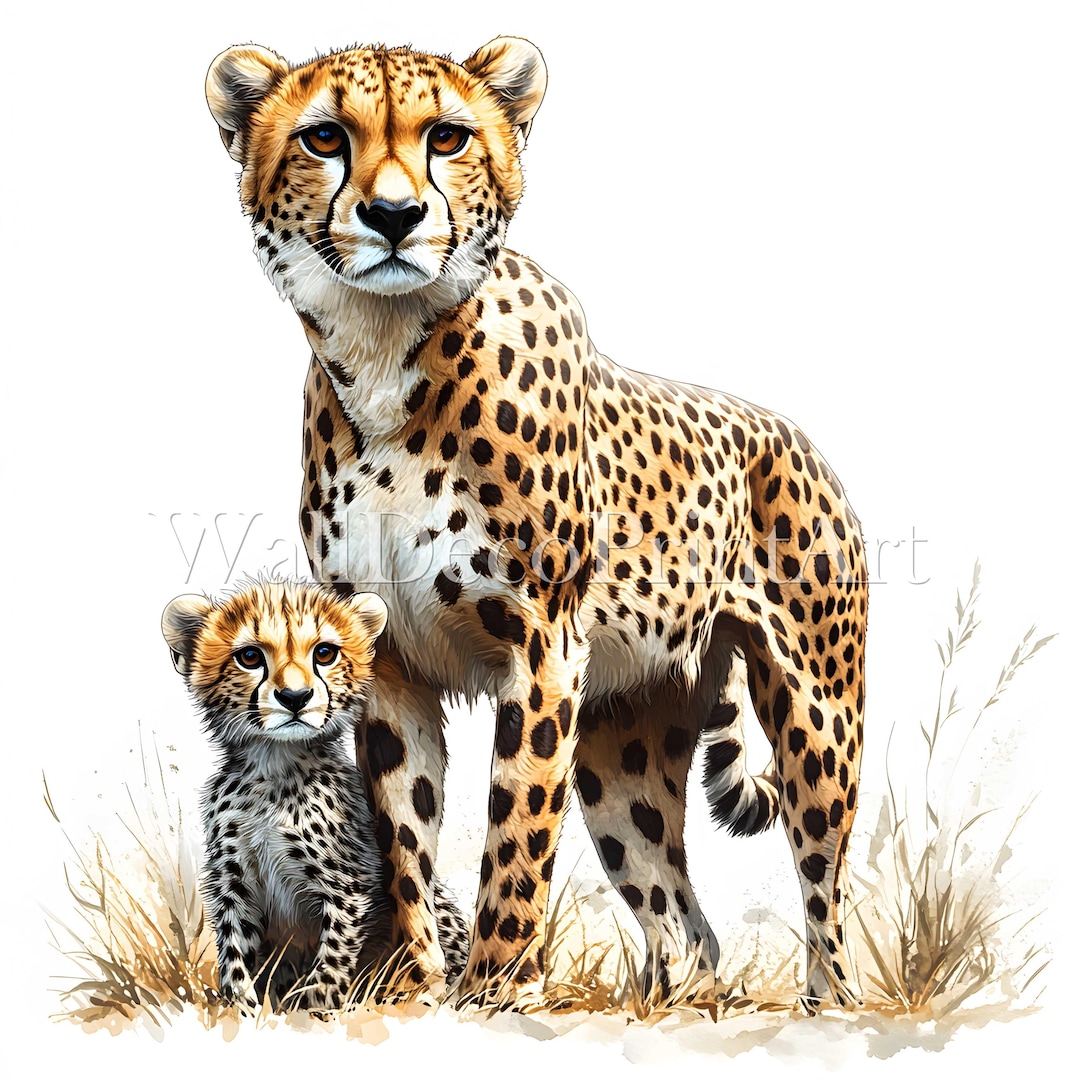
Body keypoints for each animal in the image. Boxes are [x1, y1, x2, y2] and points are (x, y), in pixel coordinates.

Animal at [162, 579, 470, 1011]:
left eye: (324, 653)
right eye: (250, 656)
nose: (295, 697)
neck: (274, 769)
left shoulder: (347, 887)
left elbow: (332, 959)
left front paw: (316, 1008)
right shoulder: (234, 884)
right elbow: (236, 955)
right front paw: (240, 1007)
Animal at [205, 36, 868, 1006]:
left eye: (447, 136)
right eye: (324, 137)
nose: (395, 216)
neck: (385, 353)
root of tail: (797, 437)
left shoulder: (543, 642)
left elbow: (515, 831)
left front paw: (494, 990)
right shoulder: (387, 662)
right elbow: (405, 838)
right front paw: (416, 986)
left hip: (818, 722)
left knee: (825, 896)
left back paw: (829, 1006)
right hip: (622, 748)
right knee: (682, 919)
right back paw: (672, 1005)